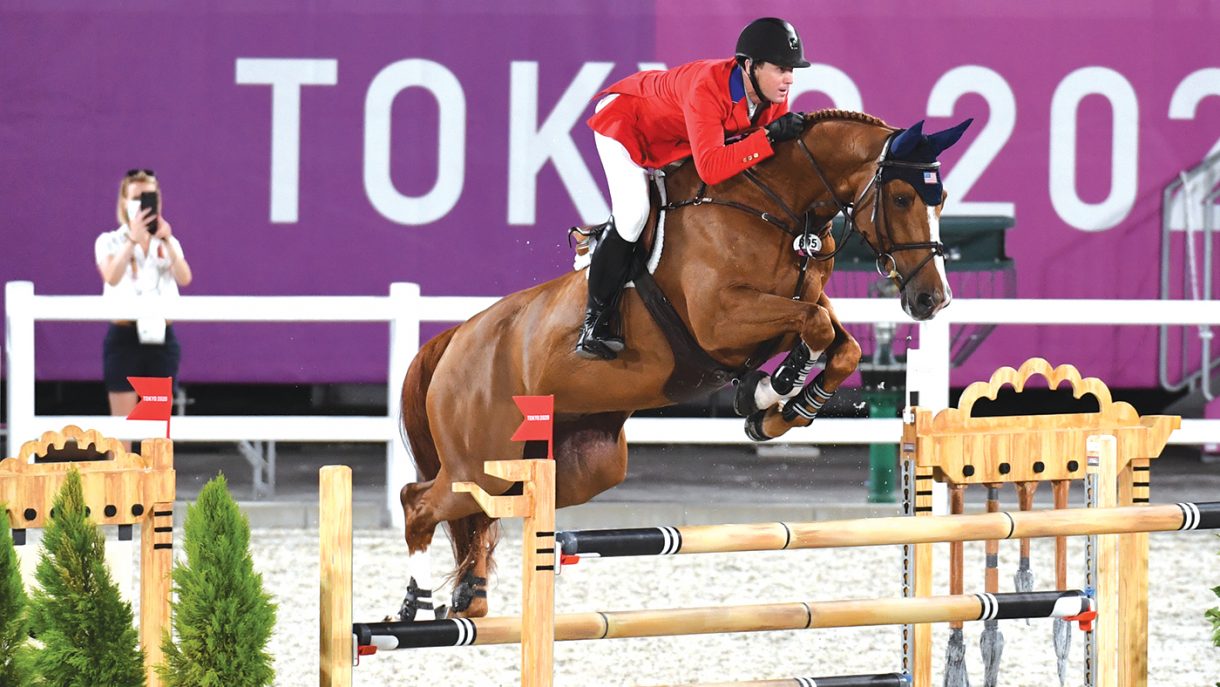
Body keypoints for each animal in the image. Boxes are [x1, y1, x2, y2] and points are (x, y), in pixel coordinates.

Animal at [396, 110, 972, 619]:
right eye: (901, 197)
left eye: (940, 198)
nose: (933, 300)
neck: (772, 207)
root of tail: (456, 337)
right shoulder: (721, 320)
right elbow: (815, 329)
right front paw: (772, 390)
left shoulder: (800, 301)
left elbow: (837, 341)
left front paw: (786, 408)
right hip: (480, 462)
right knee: (417, 501)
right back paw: (416, 602)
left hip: (568, 466)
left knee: (477, 513)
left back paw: (470, 597)